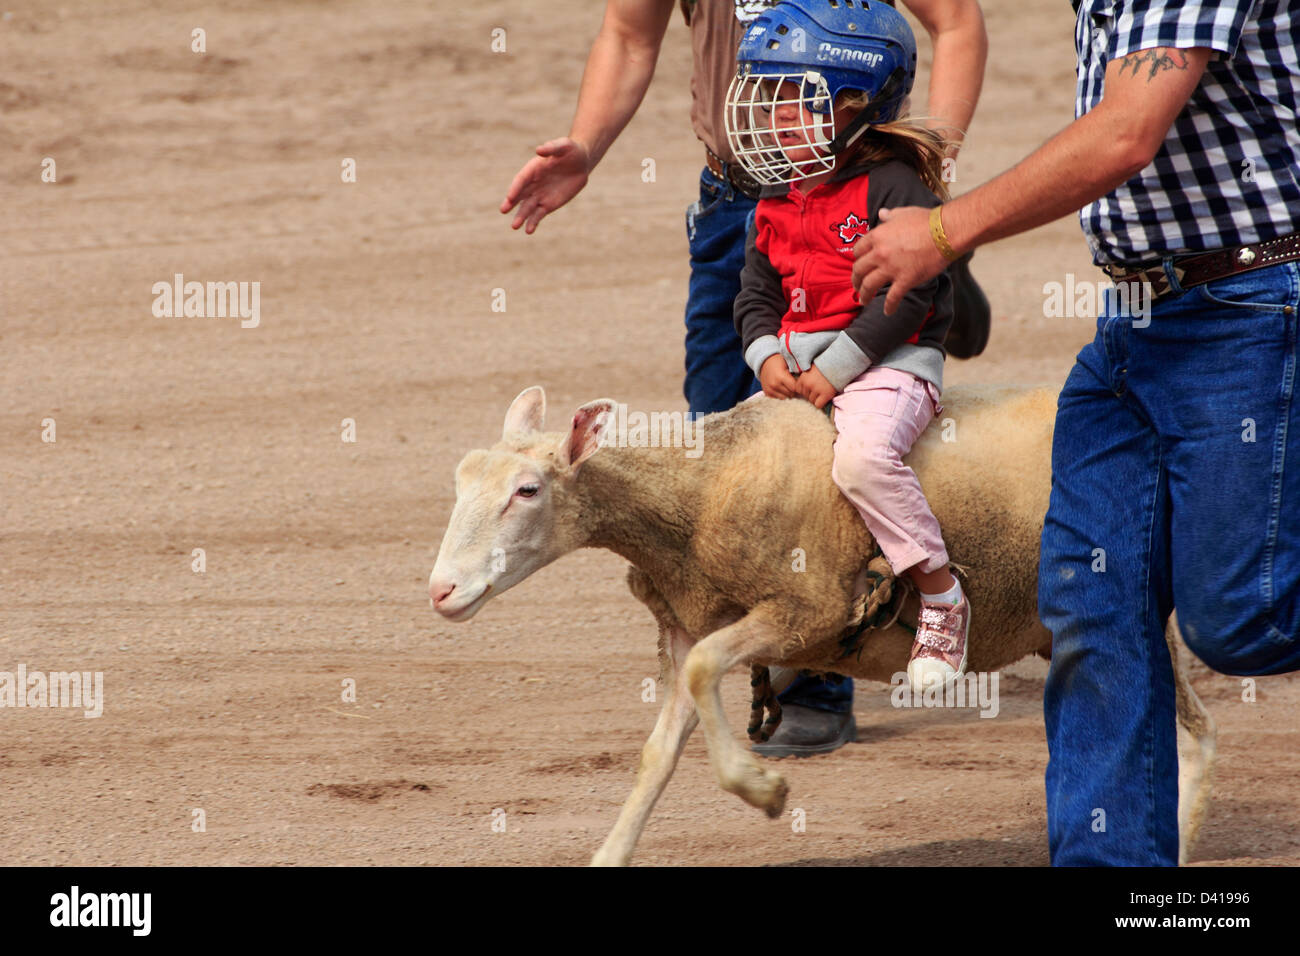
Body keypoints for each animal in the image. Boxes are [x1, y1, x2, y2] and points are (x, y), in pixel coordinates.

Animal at [429, 384, 1216, 867]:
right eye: (461, 480)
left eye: (527, 491)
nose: (440, 591)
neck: (700, 489)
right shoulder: (684, 625)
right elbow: (658, 750)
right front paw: (609, 853)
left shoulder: (806, 613)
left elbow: (708, 670)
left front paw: (763, 790)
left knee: (1194, 730)